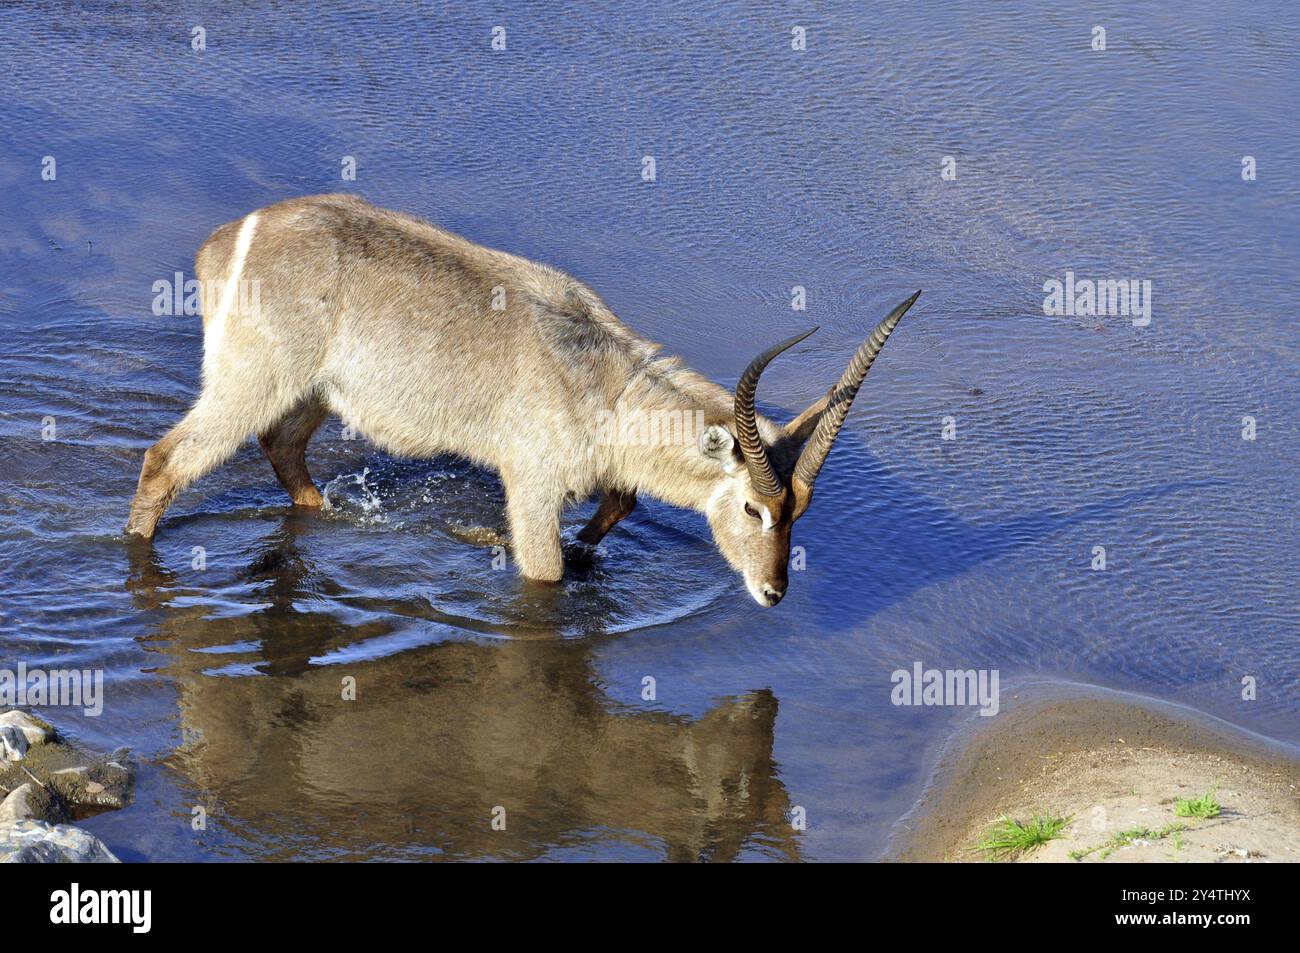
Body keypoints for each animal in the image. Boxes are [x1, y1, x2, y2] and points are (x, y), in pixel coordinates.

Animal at [126, 194, 919, 606]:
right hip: (249, 384)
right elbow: (547, 571)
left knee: (281, 449)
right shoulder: (532, 485)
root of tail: (228, 238)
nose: (774, 591)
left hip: (312, 393)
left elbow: (619, 504)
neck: (602, 379)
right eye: (754, 508)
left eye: (798, 512)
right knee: (165, 459)